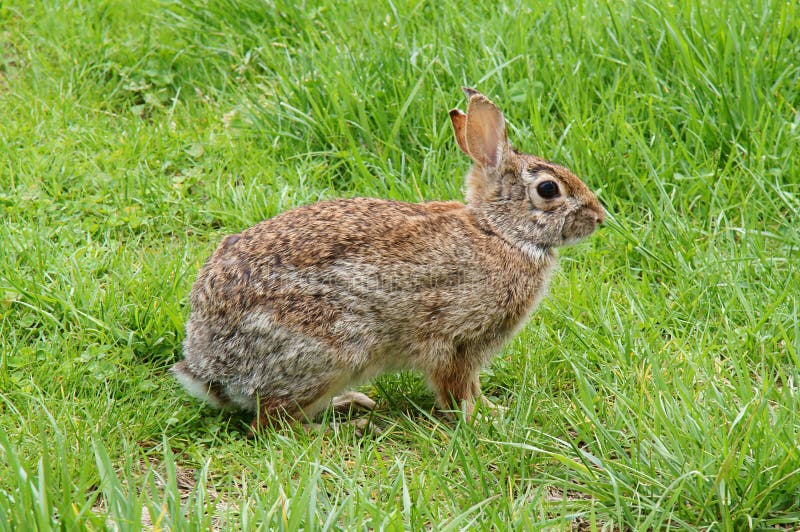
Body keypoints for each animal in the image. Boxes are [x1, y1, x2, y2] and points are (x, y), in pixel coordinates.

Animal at [172, 88, 605, 431]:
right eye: (548, 189)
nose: (600, 218)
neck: (499, 233)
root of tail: (208, 369)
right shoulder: (454, 340)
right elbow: (455, 387)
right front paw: (480, 418)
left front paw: (490, 409)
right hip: (330, 351)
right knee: (272, 424)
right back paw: (348, 426)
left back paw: (350, 404)